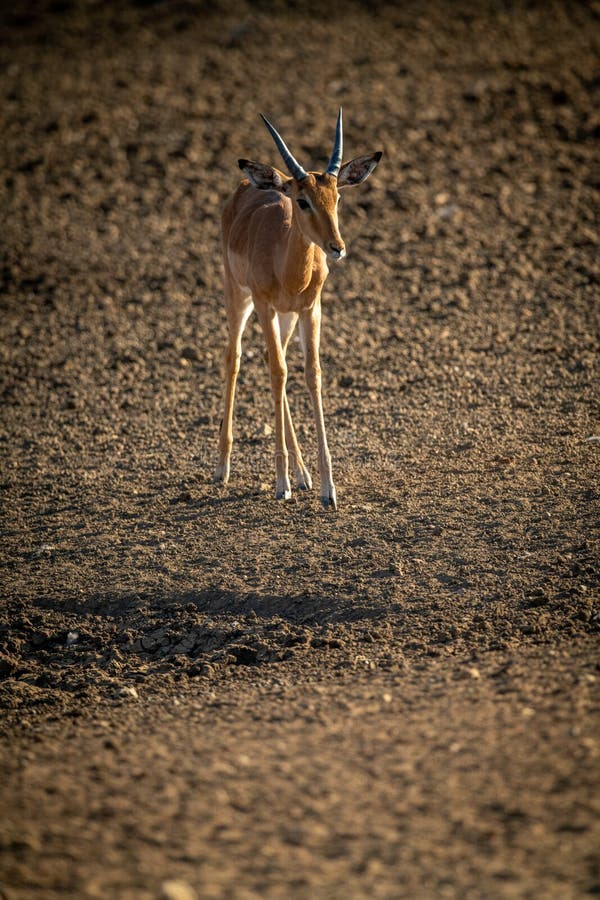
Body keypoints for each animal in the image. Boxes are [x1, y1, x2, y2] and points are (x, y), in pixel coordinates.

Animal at [214, 109, 382, 509]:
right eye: (303, 200)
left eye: (336, 197)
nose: (337, 247)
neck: (288, 269)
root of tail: (245, 187)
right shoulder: (264, 305)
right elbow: (278, 374)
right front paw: (281, 483)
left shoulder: (310, 309)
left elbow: (311, 374)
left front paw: (327, 489)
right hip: (238, 297)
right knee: (235, 357)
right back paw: (222, 468)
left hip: (285, 316)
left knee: (268, 359)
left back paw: (304, 475)